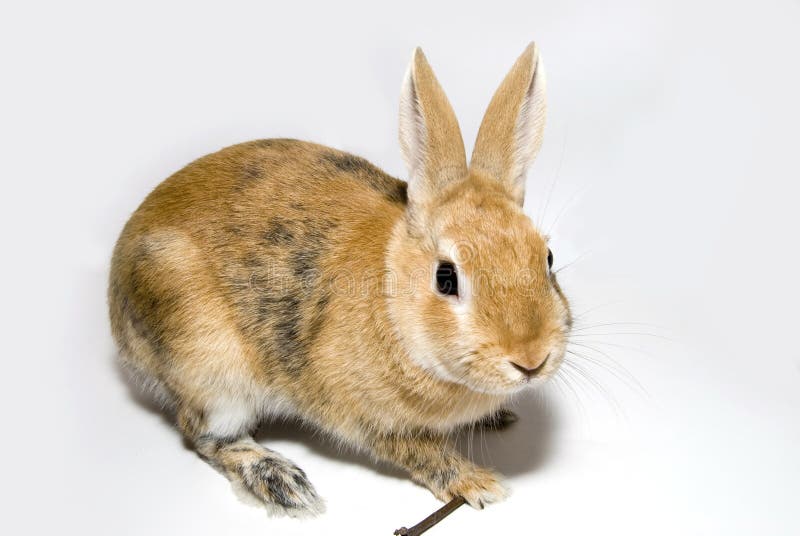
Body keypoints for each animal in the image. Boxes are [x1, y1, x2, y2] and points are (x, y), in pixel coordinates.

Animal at [108, 42, 571, 517]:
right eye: (446, 278)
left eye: (548, 258)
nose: (530, 360)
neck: (393, 302)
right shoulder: (369, 418)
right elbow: (419, 450)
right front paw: (478, 484)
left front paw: (499, 418)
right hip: (210, 366)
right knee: (203, 435)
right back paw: (282, 482)